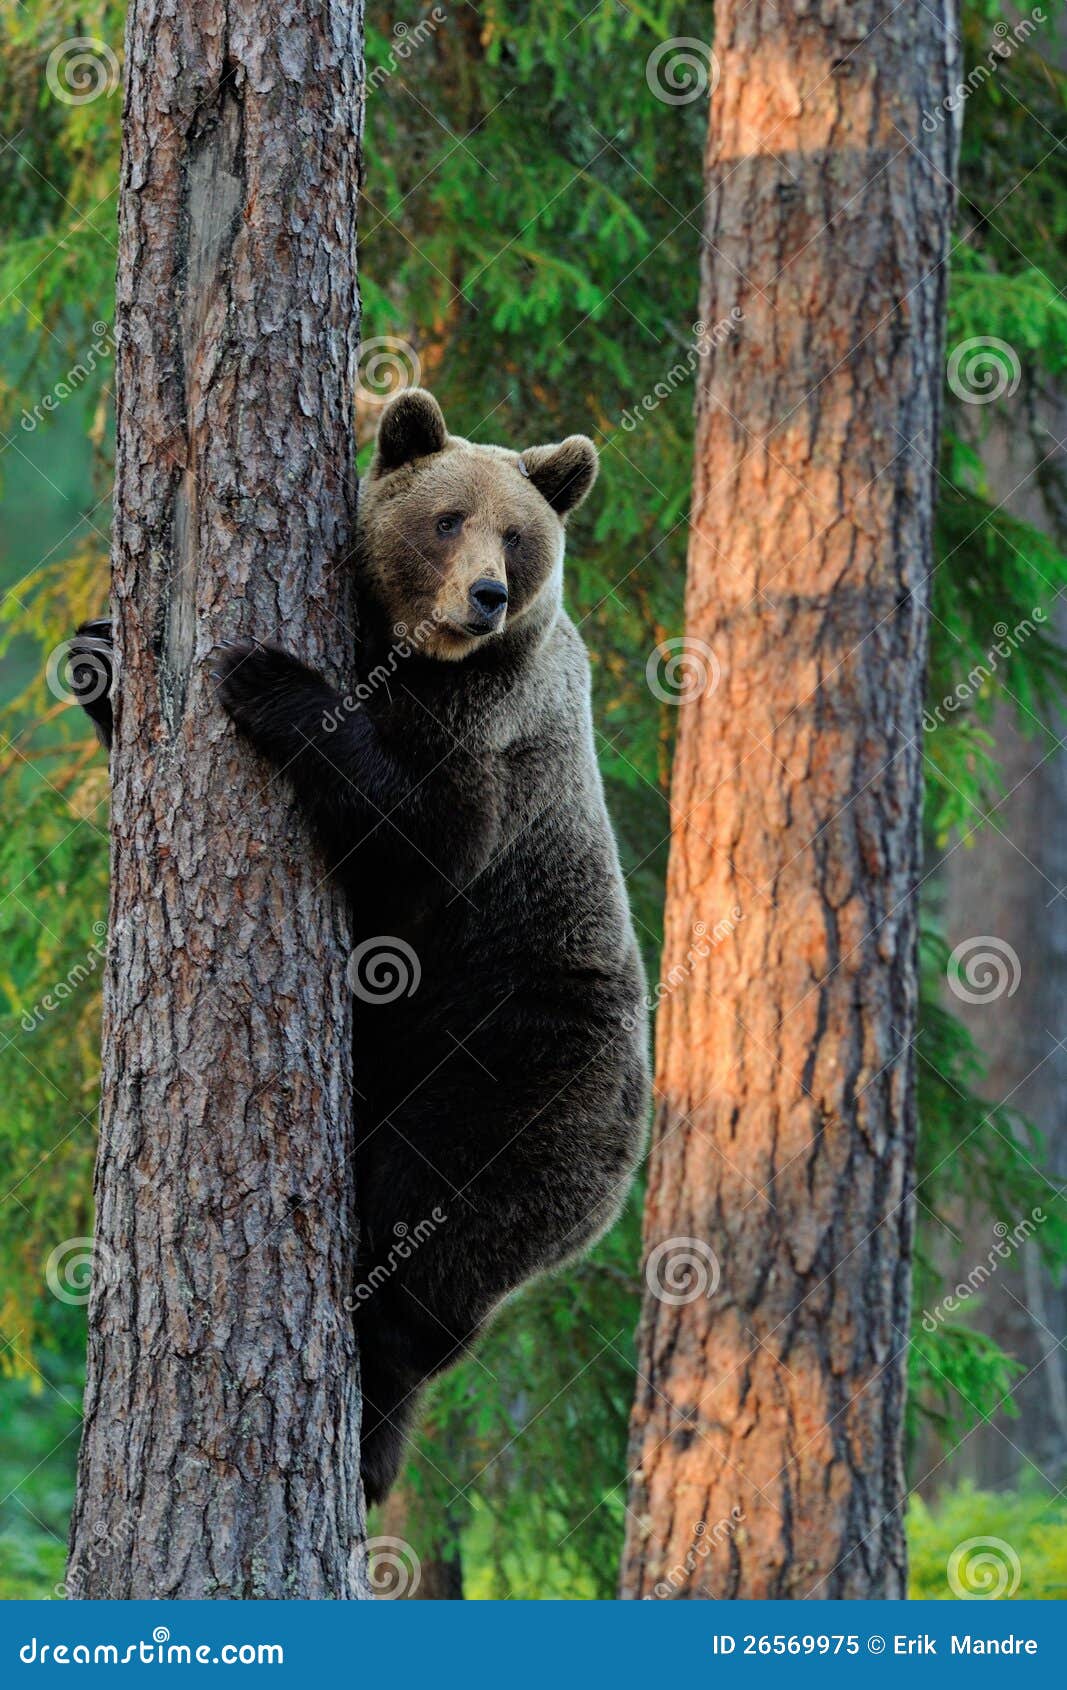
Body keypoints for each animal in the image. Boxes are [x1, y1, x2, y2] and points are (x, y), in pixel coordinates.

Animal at [70, 387, 650, 1508]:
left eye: (516, 535)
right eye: (446, 519)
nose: (485, 596)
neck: (420, 654)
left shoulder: (490, 743)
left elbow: (413, 844)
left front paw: (265, 675)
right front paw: (100, 654)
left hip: (522, 1066)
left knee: (431, 1230)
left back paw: (374, 1409)